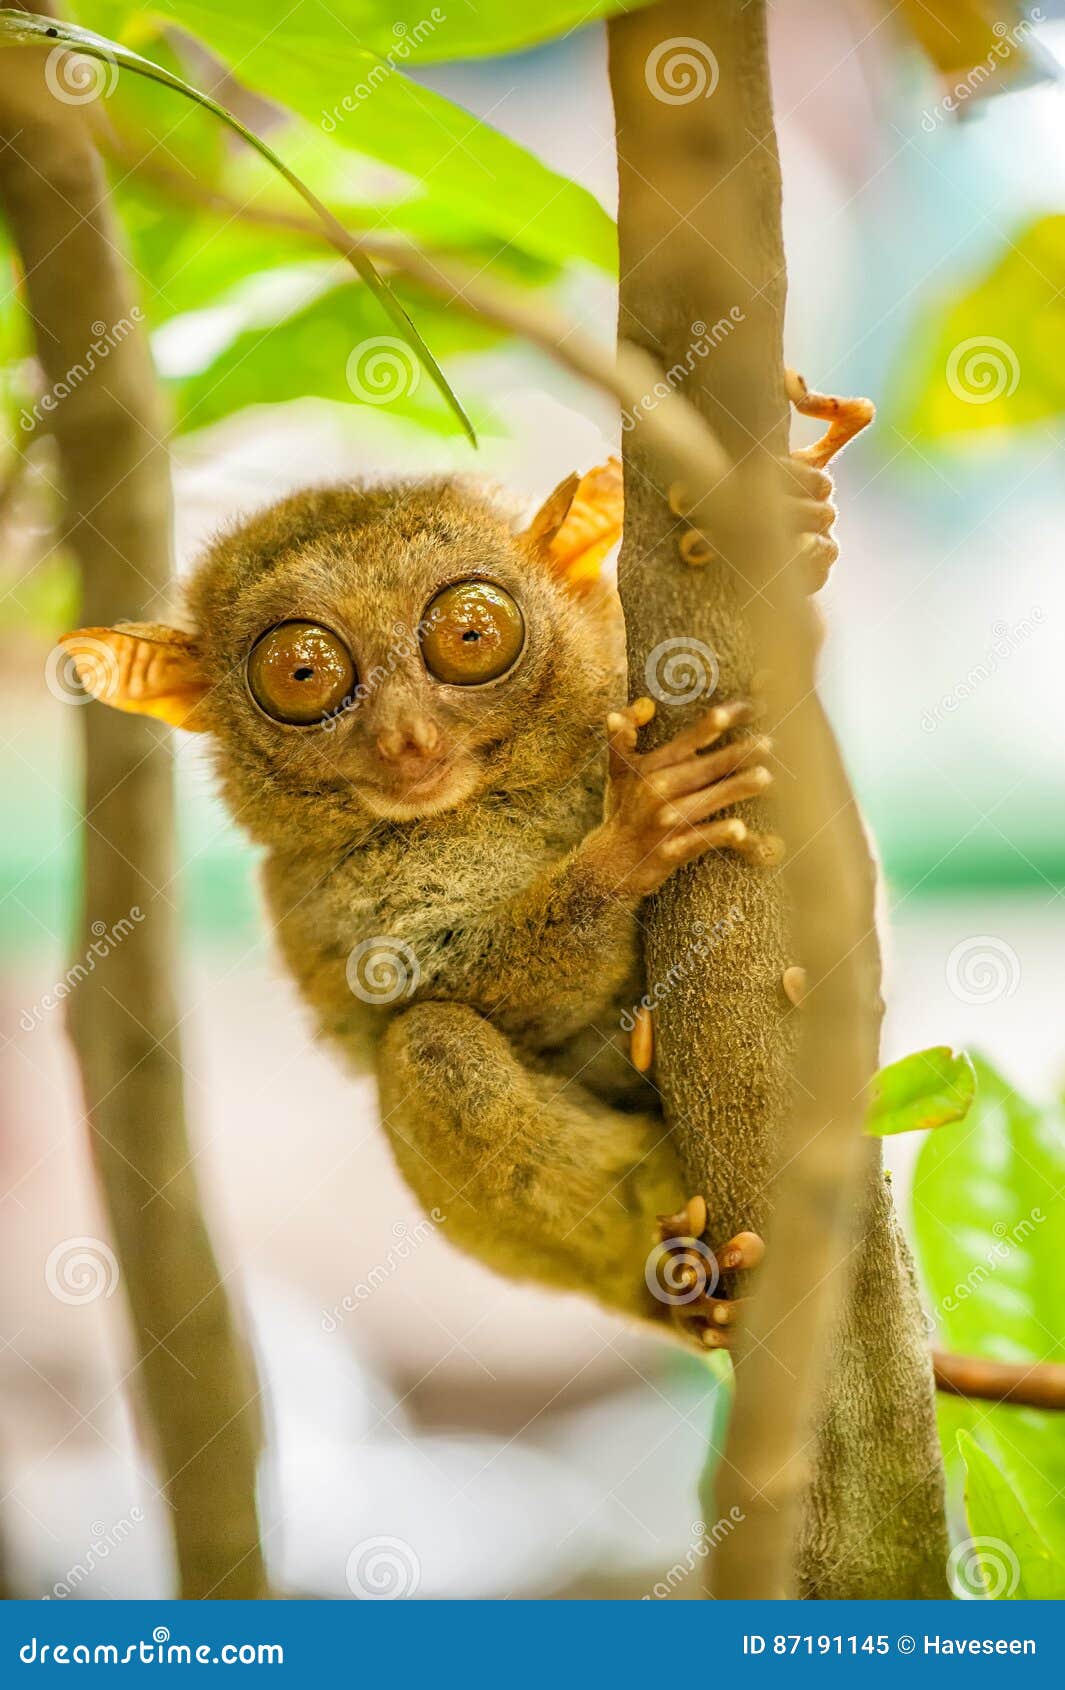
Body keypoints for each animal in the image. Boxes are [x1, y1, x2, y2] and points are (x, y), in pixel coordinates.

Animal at [61, 374, 872, 1351]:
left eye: (471, 635)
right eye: (302, 675)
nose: (405, 738)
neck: (495, 796)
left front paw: (798, 523)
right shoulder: (322, 897)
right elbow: (436, 992)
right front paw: (632, 841)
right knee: (431, 1048)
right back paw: (677, 1278)